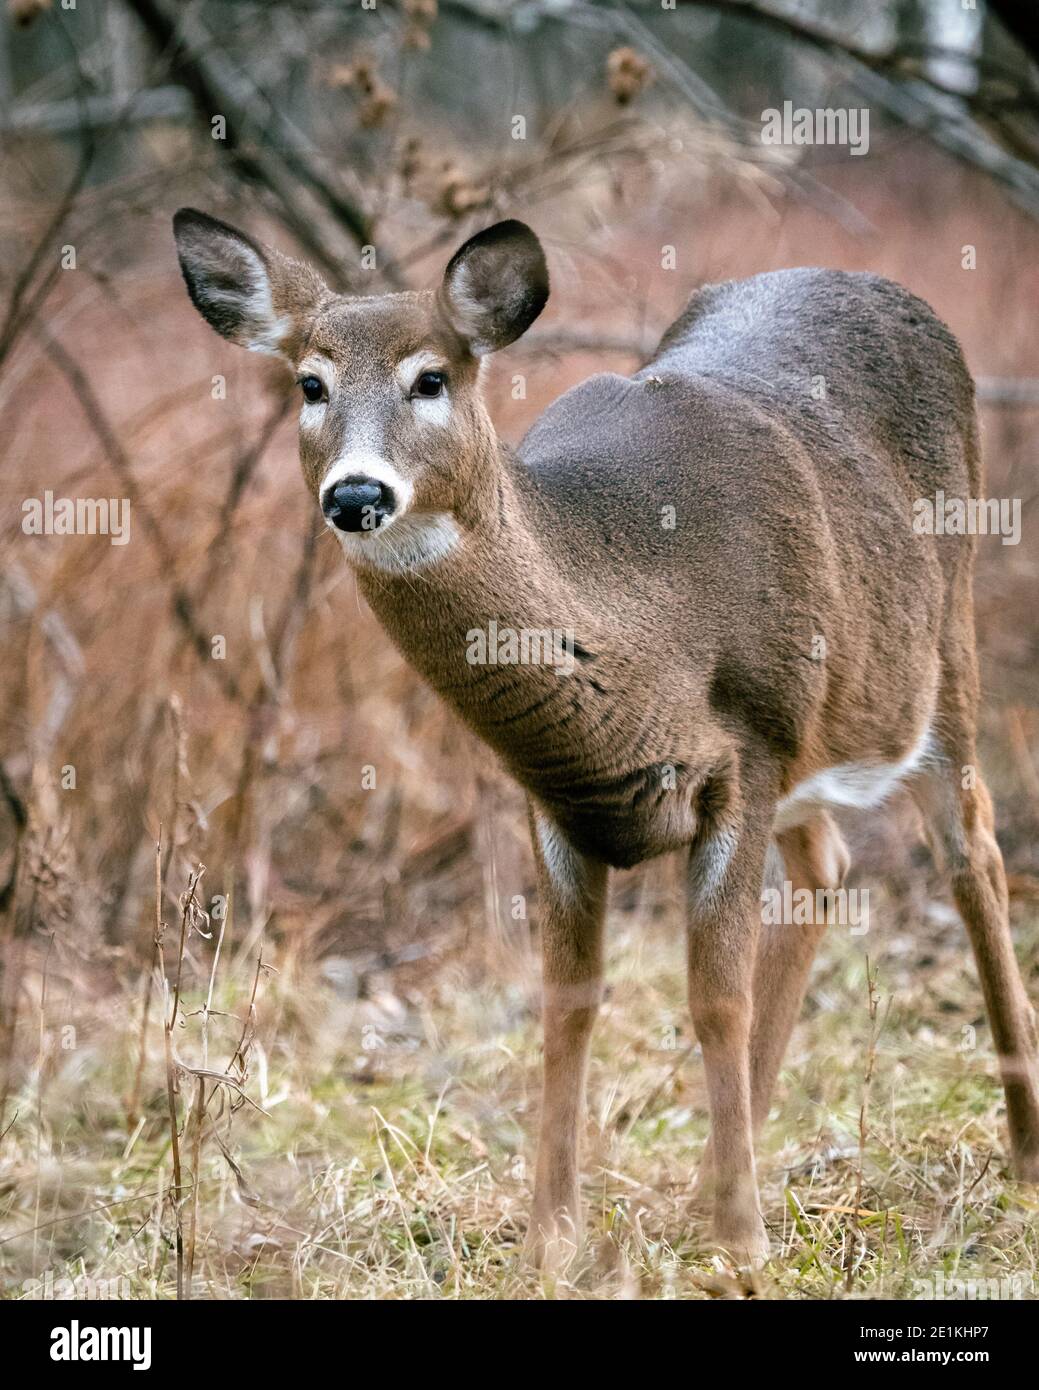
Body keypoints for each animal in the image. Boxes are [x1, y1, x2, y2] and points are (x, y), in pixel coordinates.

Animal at [173, 207, 1039, 1266]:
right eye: (309, 383)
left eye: (432, 378)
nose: (355, 495)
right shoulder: (554, 800)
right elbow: (567, 1004)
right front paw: (551, 1238)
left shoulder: (747, 750)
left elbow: (713, 998)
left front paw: (741, 1242)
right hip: (821, 739)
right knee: (829, 862)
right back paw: (717, 1168)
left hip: (941, 648)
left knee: (973, 851)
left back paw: (1020, 1148)